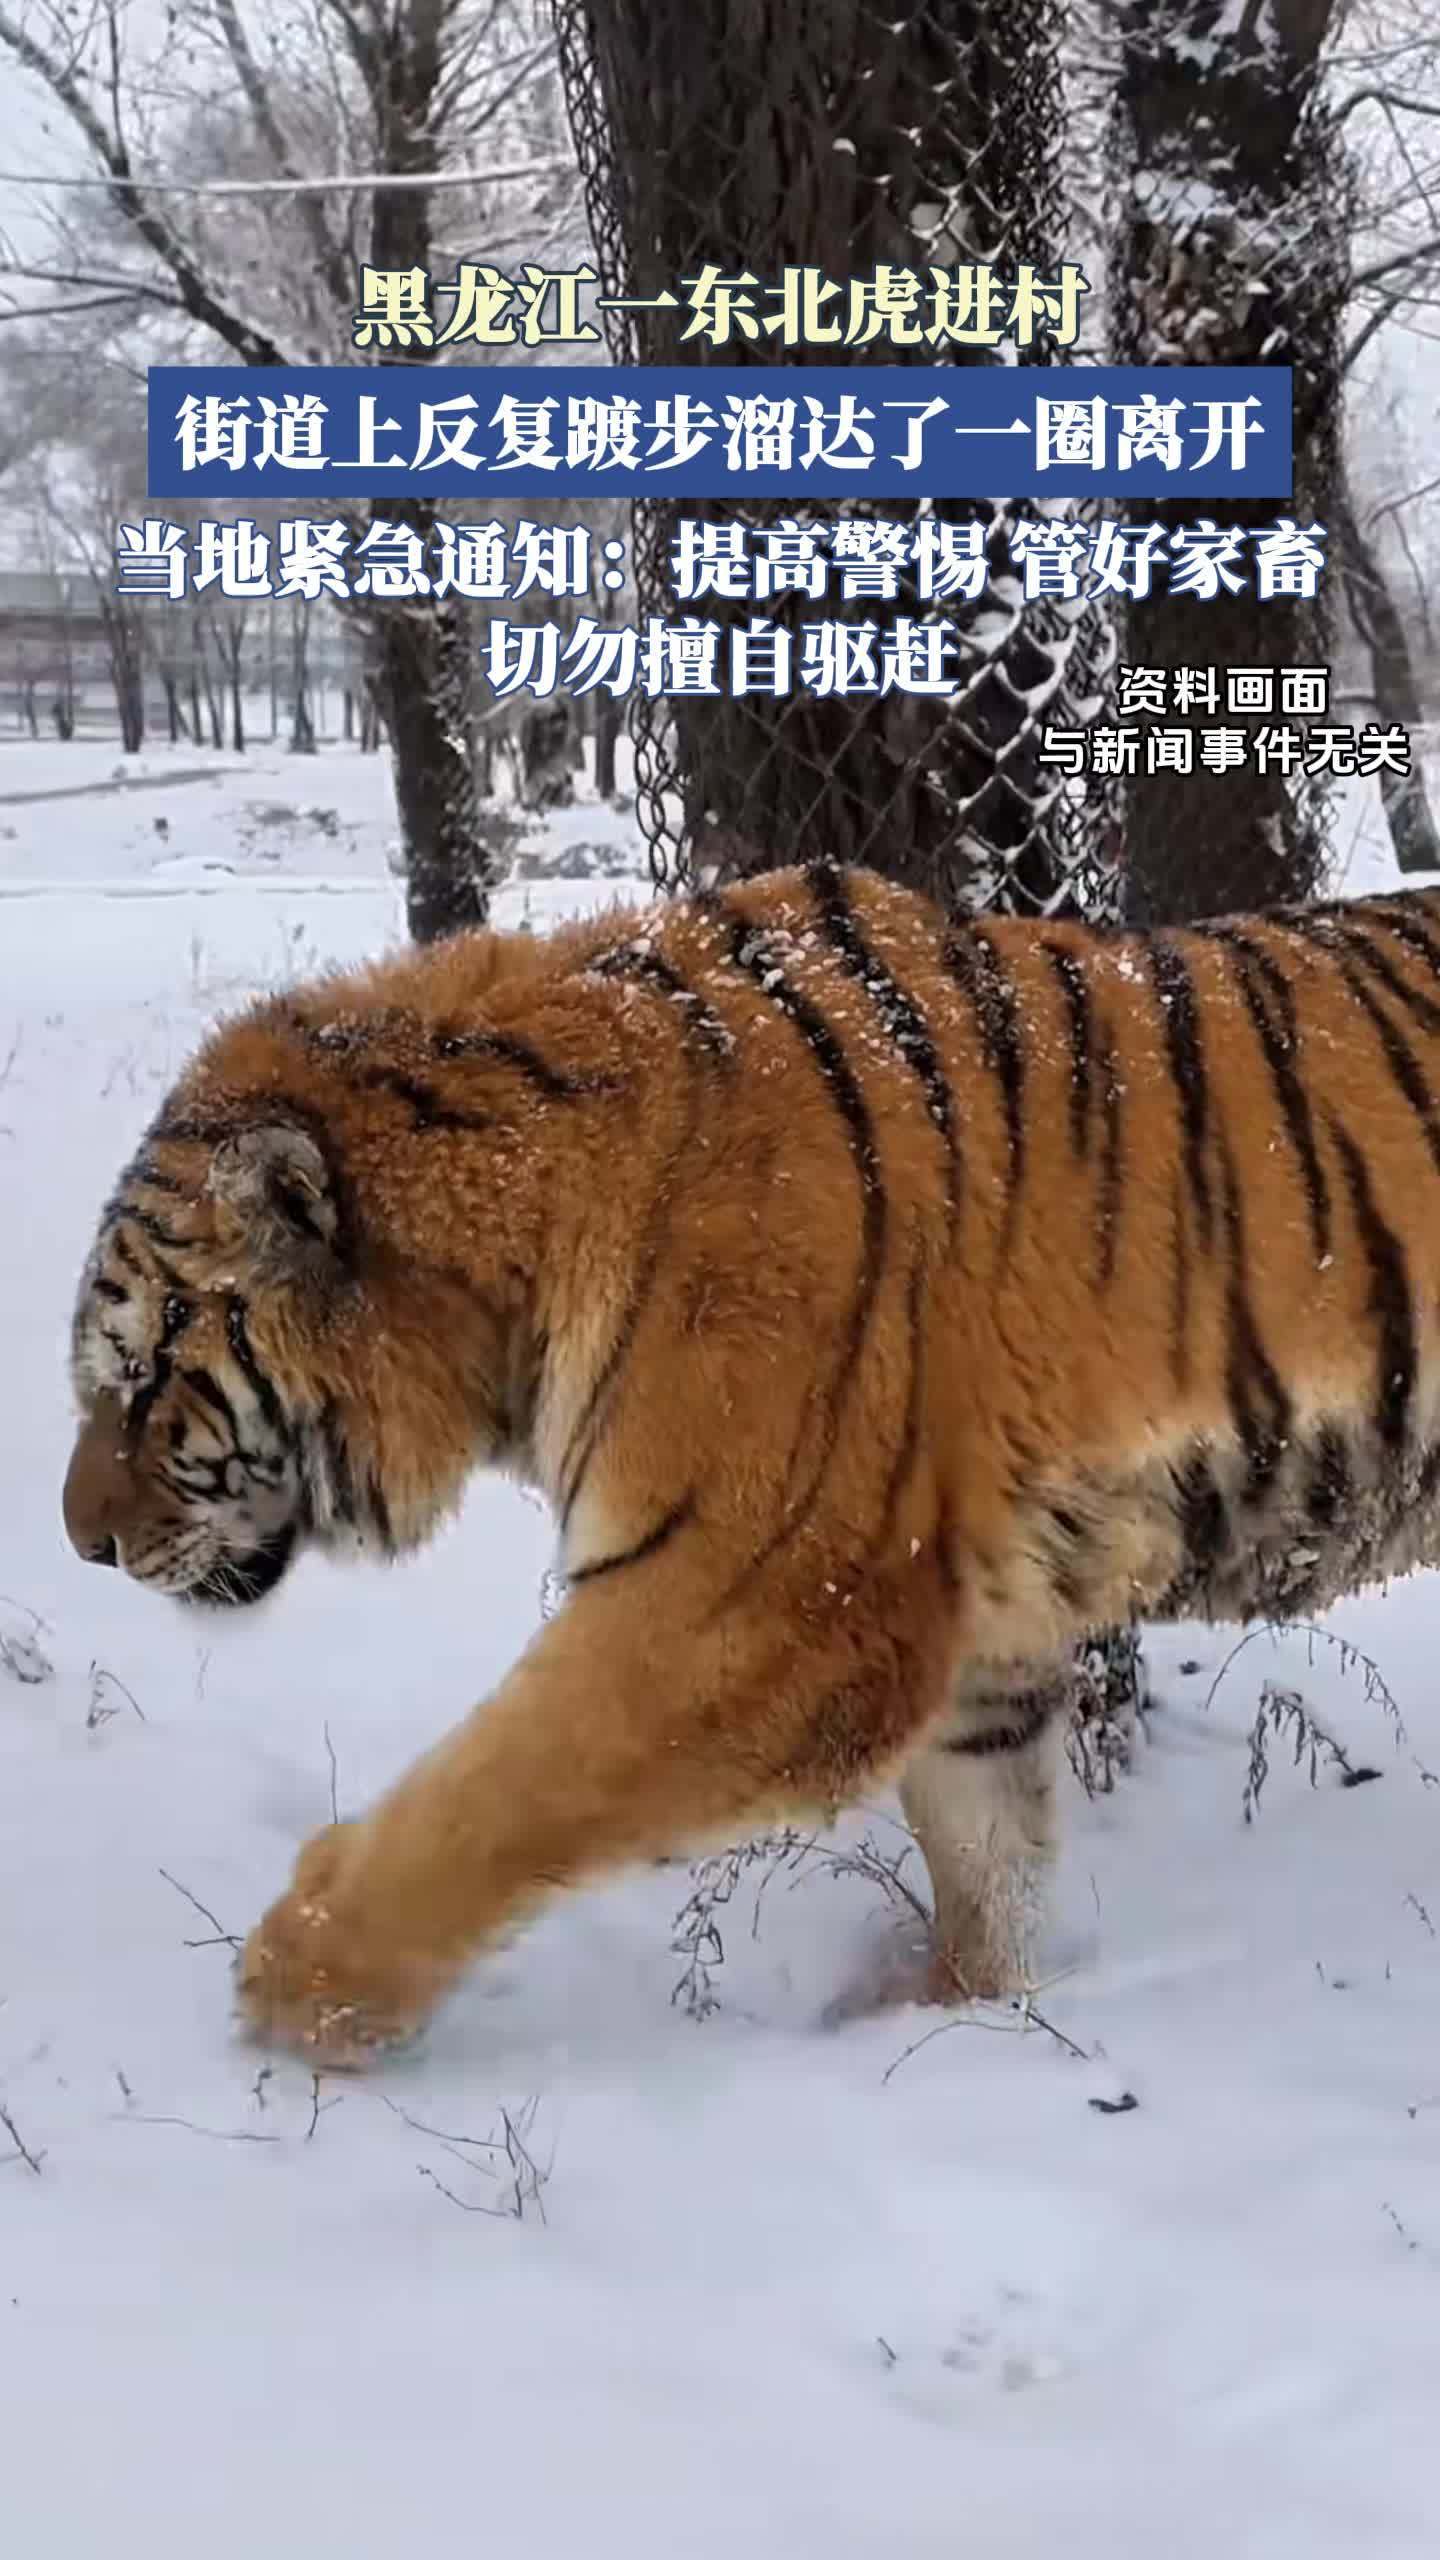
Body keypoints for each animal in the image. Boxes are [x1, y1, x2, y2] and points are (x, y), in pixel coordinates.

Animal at [59, 859, 1440, 2063]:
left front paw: (298, 1987)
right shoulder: (967, 1618)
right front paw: (965, 2019)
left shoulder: (758, 1603)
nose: (84, 1544)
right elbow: (988, 1848)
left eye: (137, 1381)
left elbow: (495, 1790)